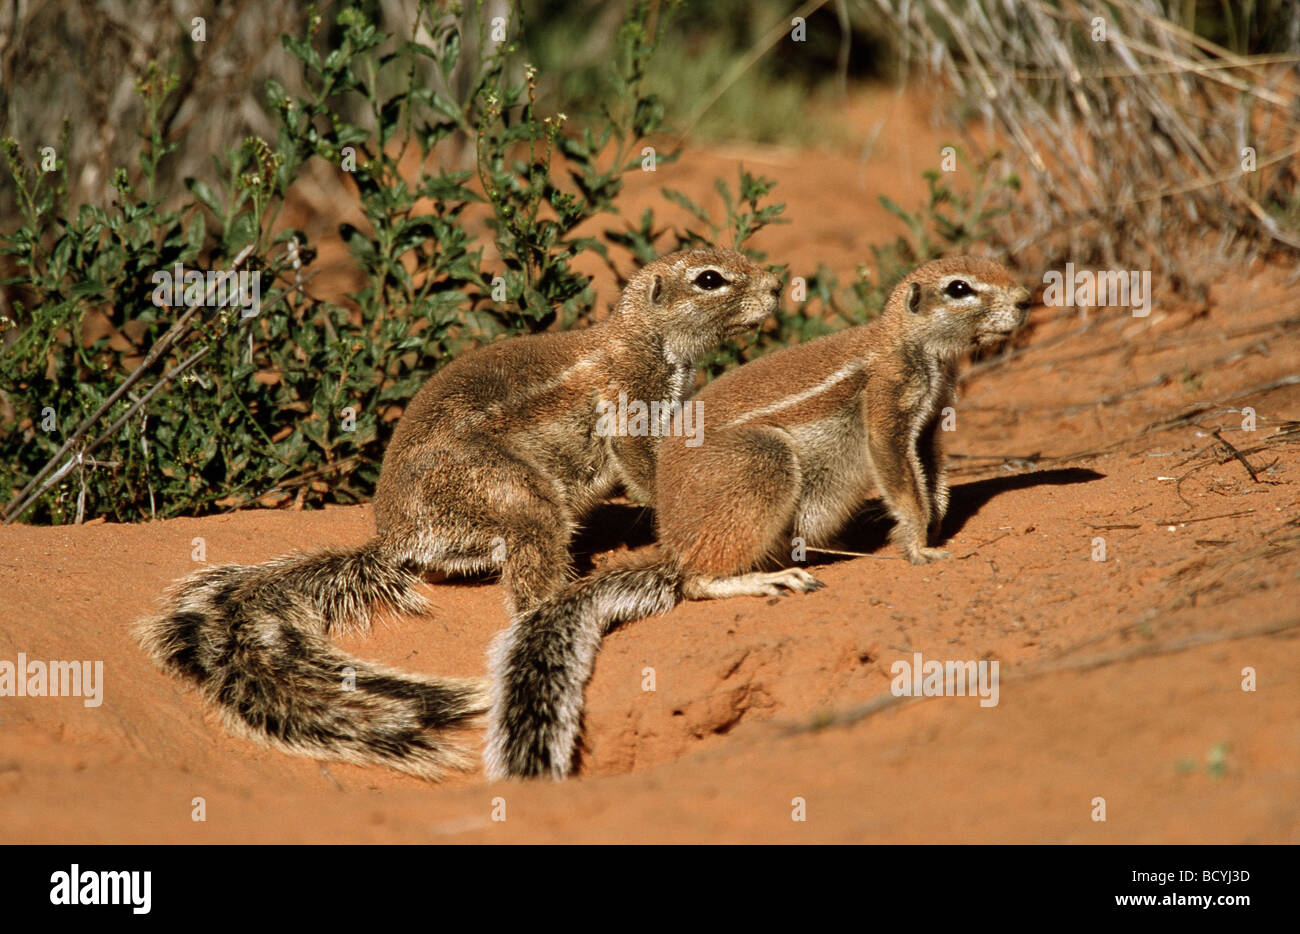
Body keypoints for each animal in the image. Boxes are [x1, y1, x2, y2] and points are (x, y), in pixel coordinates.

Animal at [135, 248, 782, 779]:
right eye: (710, 279)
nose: (778, 285)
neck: (642, 341)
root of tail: (395, 539)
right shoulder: (628, 406)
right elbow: (641, 466)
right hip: (518, 494)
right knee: (528, 590)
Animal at [484, 255, 1030, 780]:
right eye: (959, 288)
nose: (1027, 299)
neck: (909, 344)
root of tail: (675, 548)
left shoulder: (931, 424)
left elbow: (932, 484)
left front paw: (933, 531)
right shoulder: (887, 409)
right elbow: (901, 481)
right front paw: (919, 546)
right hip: (763, 460)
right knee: (697, 581)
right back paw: (769, 579)